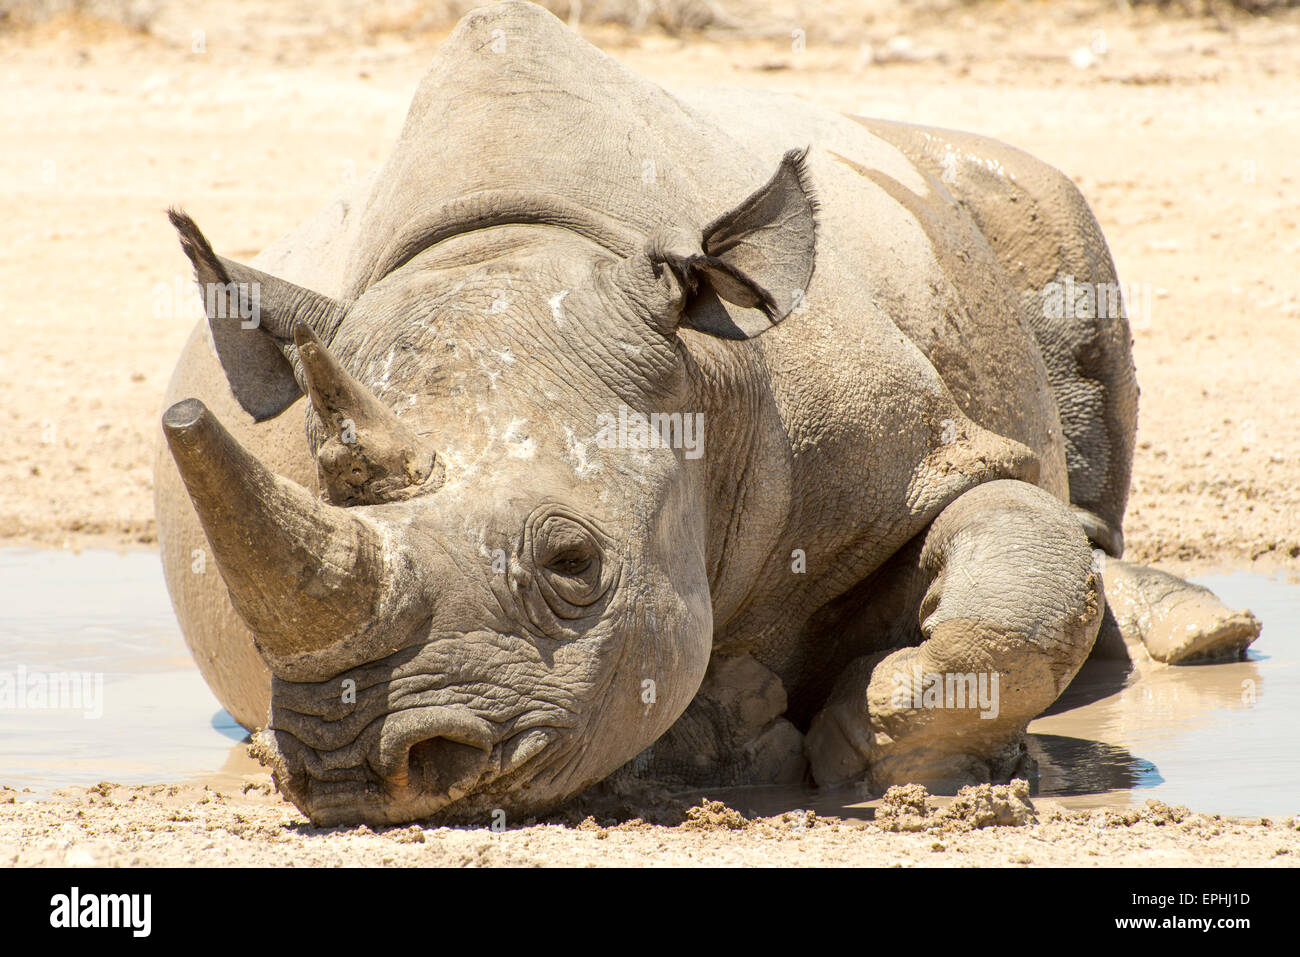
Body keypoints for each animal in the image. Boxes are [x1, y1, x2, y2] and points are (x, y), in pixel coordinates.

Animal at [155, 1, 1260, 826]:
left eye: (573, 566)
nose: (357, 770)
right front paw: (740, 728)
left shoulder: (920, 454)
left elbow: (1020, 569)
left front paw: (876, 746)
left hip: (986, 186)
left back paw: (1206, 633)